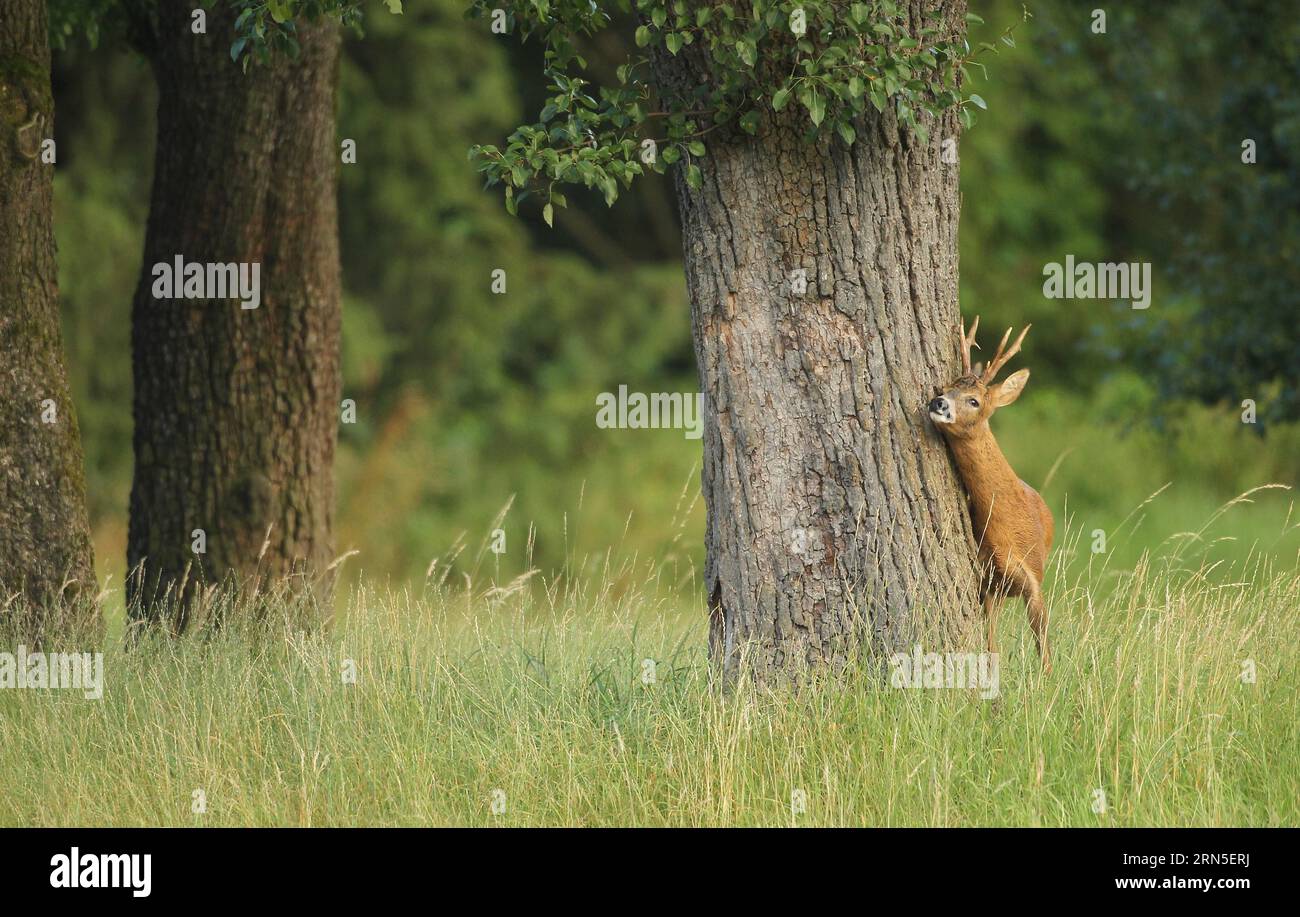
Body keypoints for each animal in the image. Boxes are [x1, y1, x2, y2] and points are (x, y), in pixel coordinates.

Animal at [927, 317, 1055, 671]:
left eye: (974, 400)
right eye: (944, 388)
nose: (937, 403)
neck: (1003, 531)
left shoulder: (1033, 580)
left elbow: (1044, 647)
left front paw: (1047, 680)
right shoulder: (987, 582)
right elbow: (991, 646)